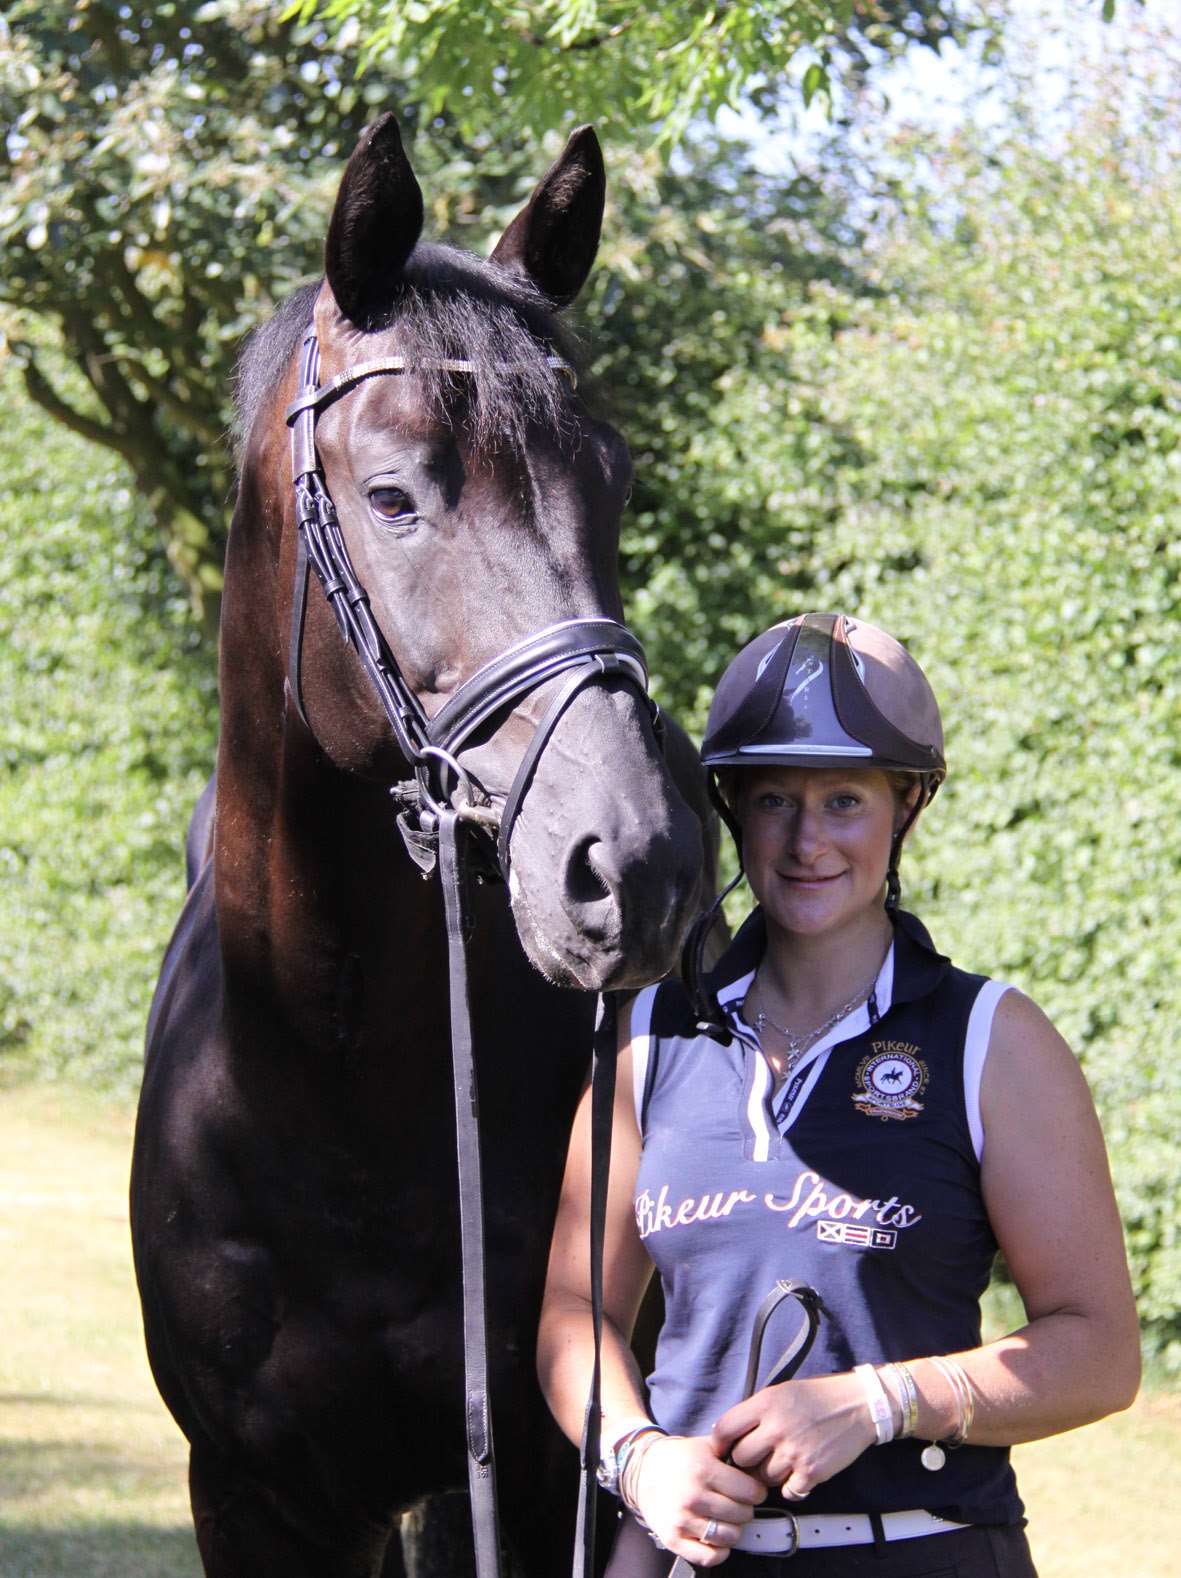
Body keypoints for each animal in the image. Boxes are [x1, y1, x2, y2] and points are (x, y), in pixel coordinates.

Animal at [131, 114, 709, 1578]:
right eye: (393, 498)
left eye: (613, 483)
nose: (637, 860)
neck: (332, 1085)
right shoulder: (255, 1492)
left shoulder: (525, 1475)